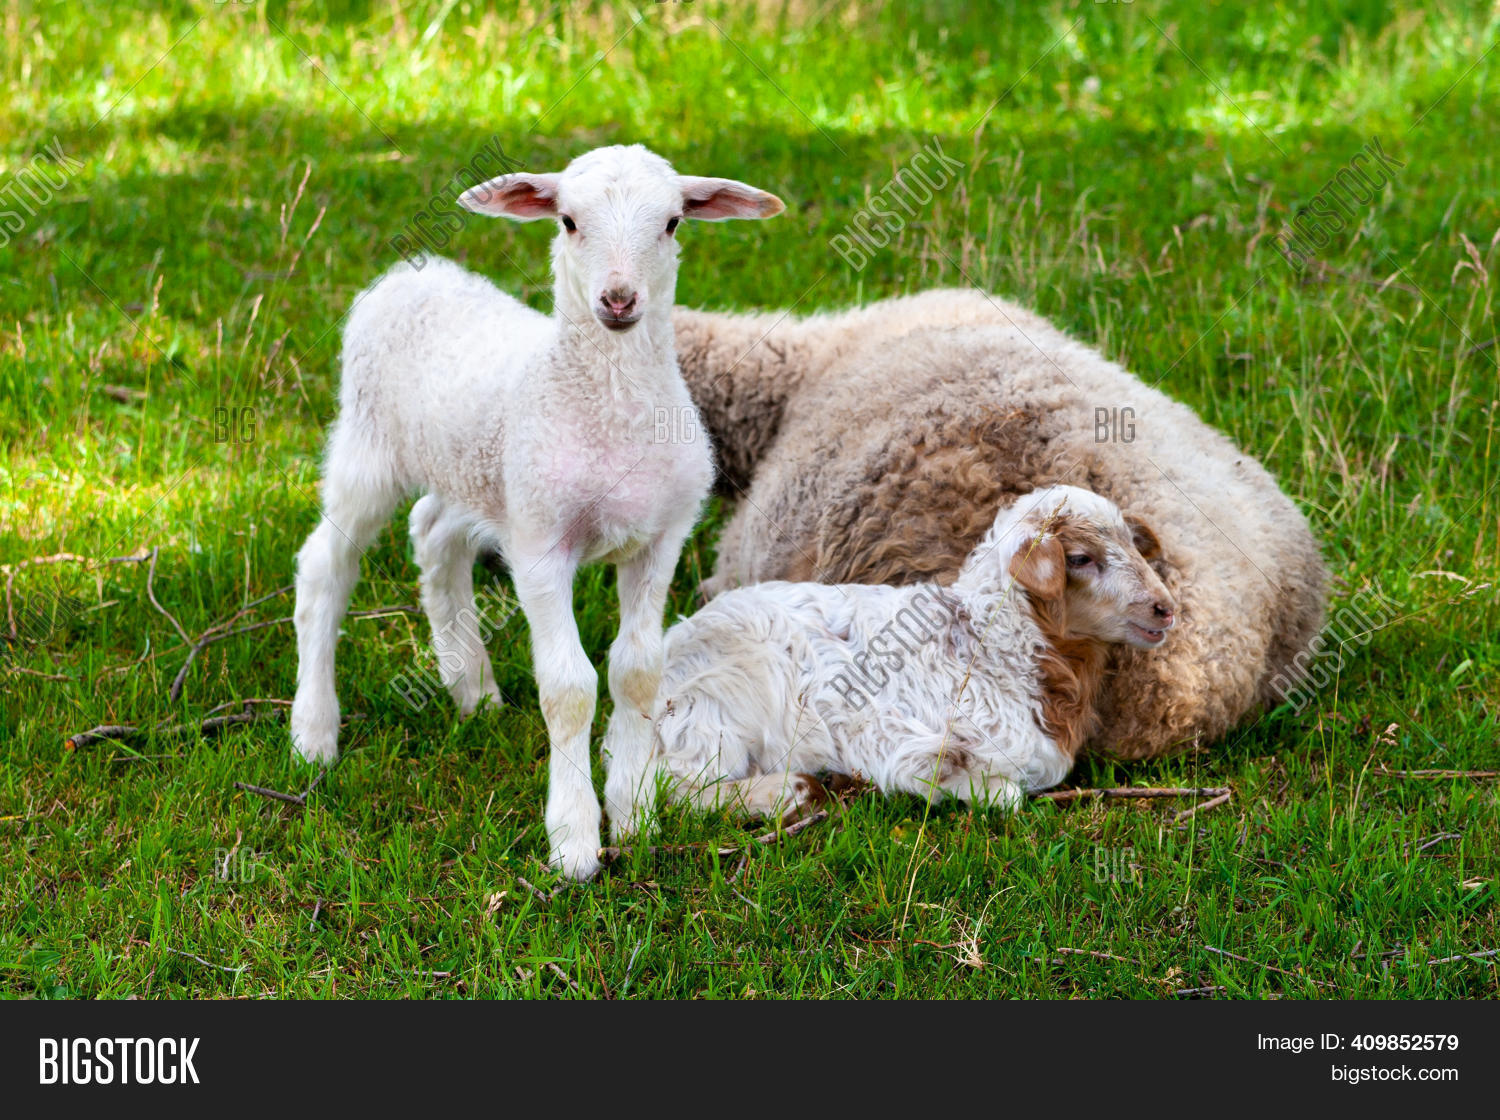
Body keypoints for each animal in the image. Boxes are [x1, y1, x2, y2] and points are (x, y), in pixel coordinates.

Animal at [288, 144, 785, 879]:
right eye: (569, 221)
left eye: (671, 222)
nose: (618, 298)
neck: (608, 407)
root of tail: (413, 273)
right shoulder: (542, 546)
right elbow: (570, 687)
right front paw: (575, 841)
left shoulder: (658, 540)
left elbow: (637, 673)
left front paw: (635, 816)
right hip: (369, 448)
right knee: (326, 565)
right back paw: (315, 731)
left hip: (482, 479)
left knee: (434, 534)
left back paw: (472, 689)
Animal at [645, 485, 1176, 820]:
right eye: (1081, 559)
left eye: (1134, 544)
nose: (1165, 608)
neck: (996, 648)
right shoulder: (898, 739)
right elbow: (1003, 795)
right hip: (720, 705)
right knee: (676, 787)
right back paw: (792, 792)